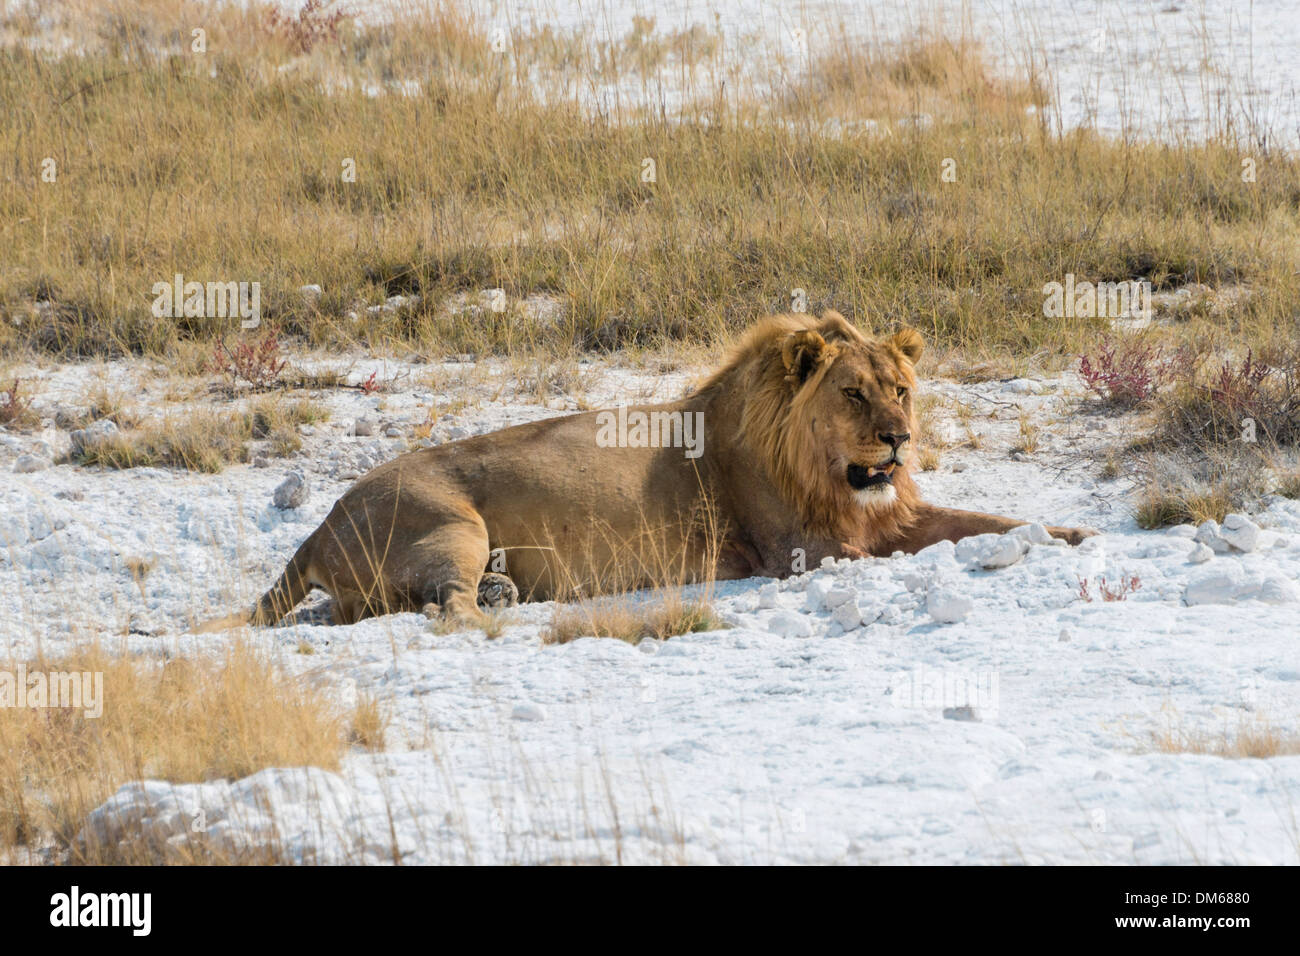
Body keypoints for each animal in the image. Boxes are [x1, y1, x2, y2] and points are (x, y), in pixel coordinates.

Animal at [196, 310, 1094, 631]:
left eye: (901, 389)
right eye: (852, 393)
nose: (900, 439)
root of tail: (319, 523)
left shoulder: (884, 511)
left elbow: (985, 520)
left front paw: (1074, 533)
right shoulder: (809, 550)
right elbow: (934, 540)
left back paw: (503, 592)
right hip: (451, 523)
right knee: (442, 610)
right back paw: (497, 610)